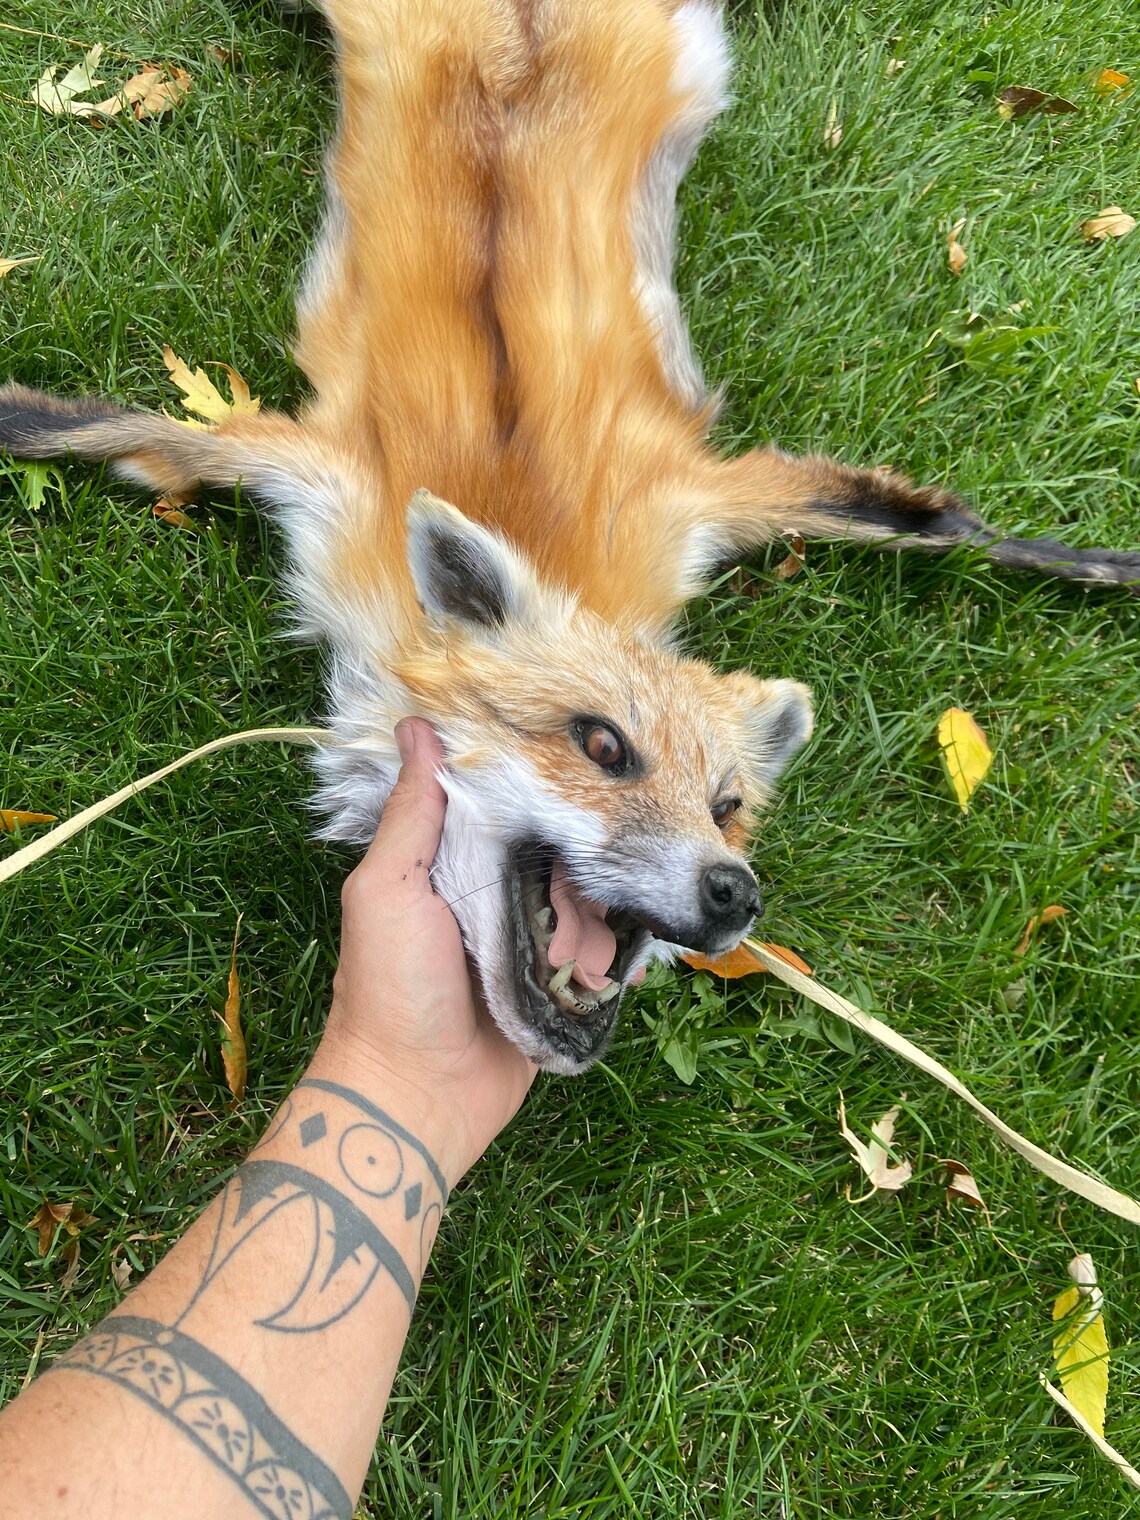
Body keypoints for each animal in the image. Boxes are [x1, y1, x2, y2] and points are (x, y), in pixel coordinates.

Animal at [3, 0, 1139, 1075]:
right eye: (602, 744)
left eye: (728, 806)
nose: (734, 891)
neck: (534, 534)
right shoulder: (320, 468)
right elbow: (106, 432)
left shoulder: (691, 500)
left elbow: (929, 522)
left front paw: (1097, 565)